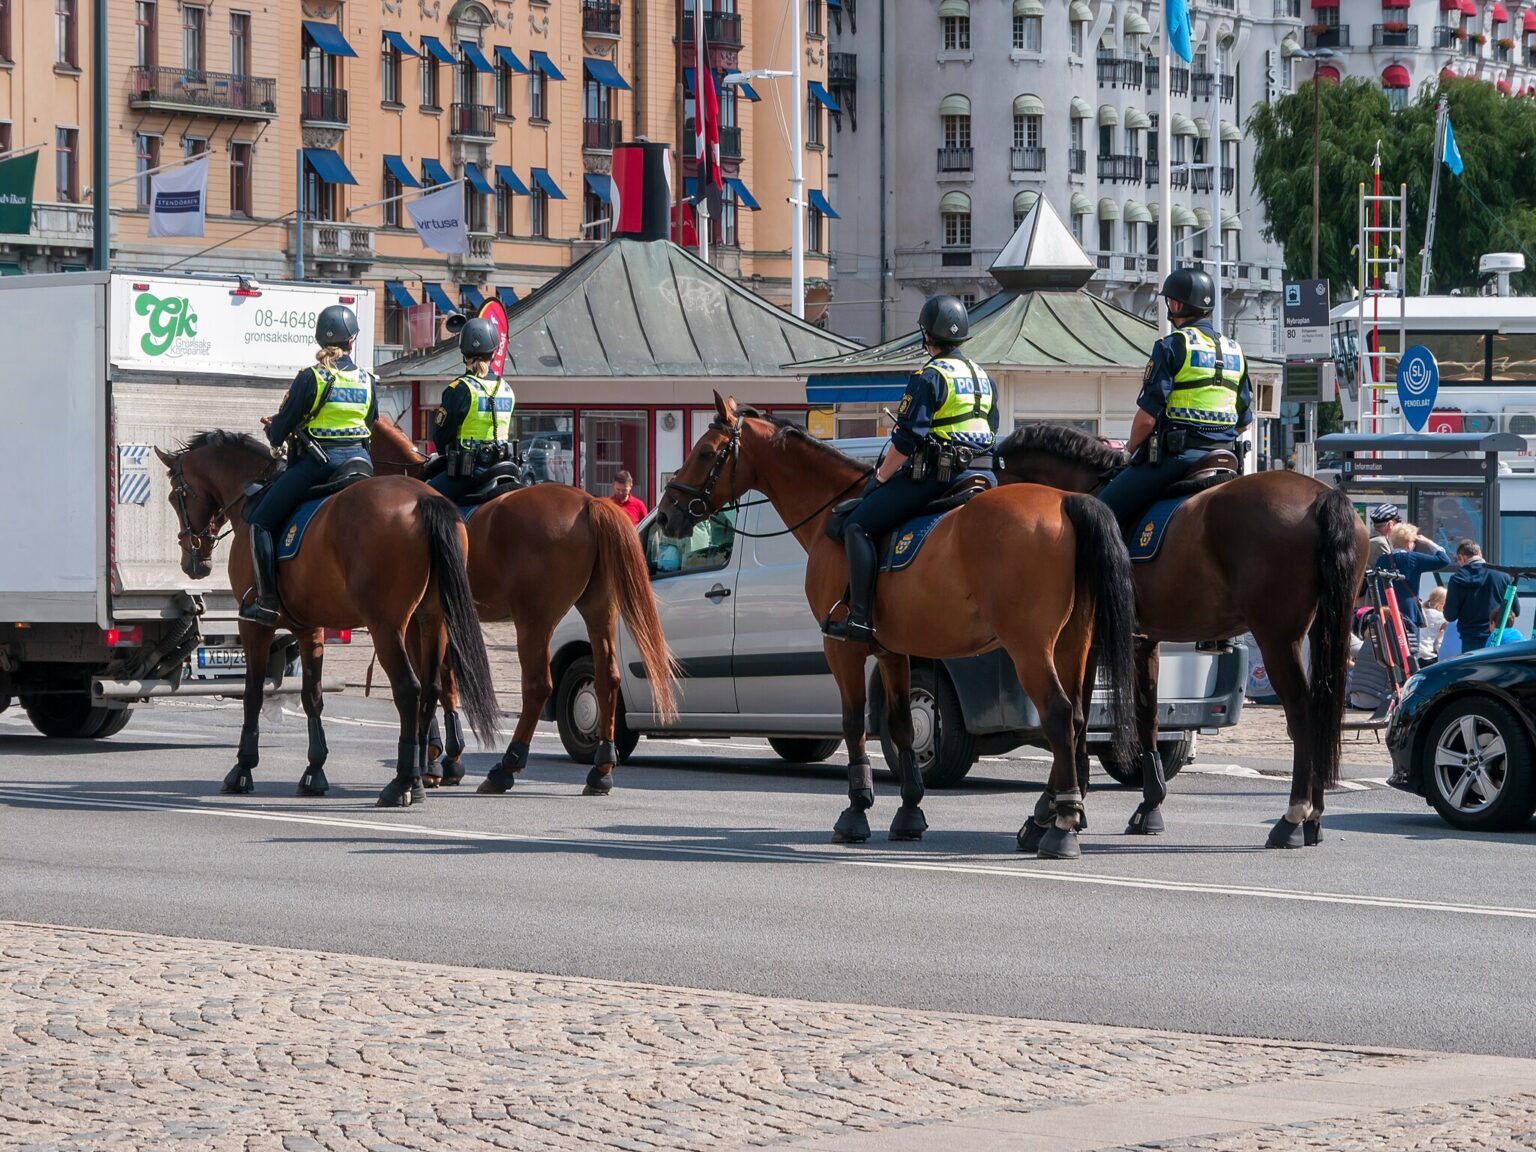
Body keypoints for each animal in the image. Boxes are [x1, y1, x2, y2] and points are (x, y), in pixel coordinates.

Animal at [155, 432, 500, 808]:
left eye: (174, 496)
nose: (193, 562)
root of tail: (423, 498)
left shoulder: (254, 626)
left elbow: (253, 694)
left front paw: (242, 769)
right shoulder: (310, 630)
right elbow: (312, 696)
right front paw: (314, 771)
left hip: (387, 626)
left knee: (410, 689)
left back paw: (402, 782)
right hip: (432, 620)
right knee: (433, 687)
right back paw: (422, 775)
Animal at [368, 416, 675, 795]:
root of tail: (589, 503)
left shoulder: (414, 621)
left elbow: (431, 680)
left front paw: (434, 759)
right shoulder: (442, 621)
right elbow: (447, 680)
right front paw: (448, 759)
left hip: (534, 620)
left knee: (538, 686)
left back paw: (507, 766)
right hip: (599, 608)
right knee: (608, 677)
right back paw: (601, 769)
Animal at [654, 393, 1137, 859]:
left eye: (705, 451)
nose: (664, 516)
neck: (830, 509)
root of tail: (1066, 501)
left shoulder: (842, 649)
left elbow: (853, 723)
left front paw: (856, 811)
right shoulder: (893, 651)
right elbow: (904, 724)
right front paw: (909, 812)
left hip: (1030, 648)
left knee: (1057, 715)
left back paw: (1061, 827)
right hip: (1073, 644)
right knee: (1076, 719)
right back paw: (1047, 819)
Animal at [993, 424, 1367, 848]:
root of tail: (1323, 496)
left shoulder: (1087, 641)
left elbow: (1077, 716)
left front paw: (1052, 809)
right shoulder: (1144, 642)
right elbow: (1148, 716)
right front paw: (1149, 805)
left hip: (1277, 638)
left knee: (1302, 713)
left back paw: (1294, 815)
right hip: (1324, 630)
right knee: (1321, 710)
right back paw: (1313, 818)